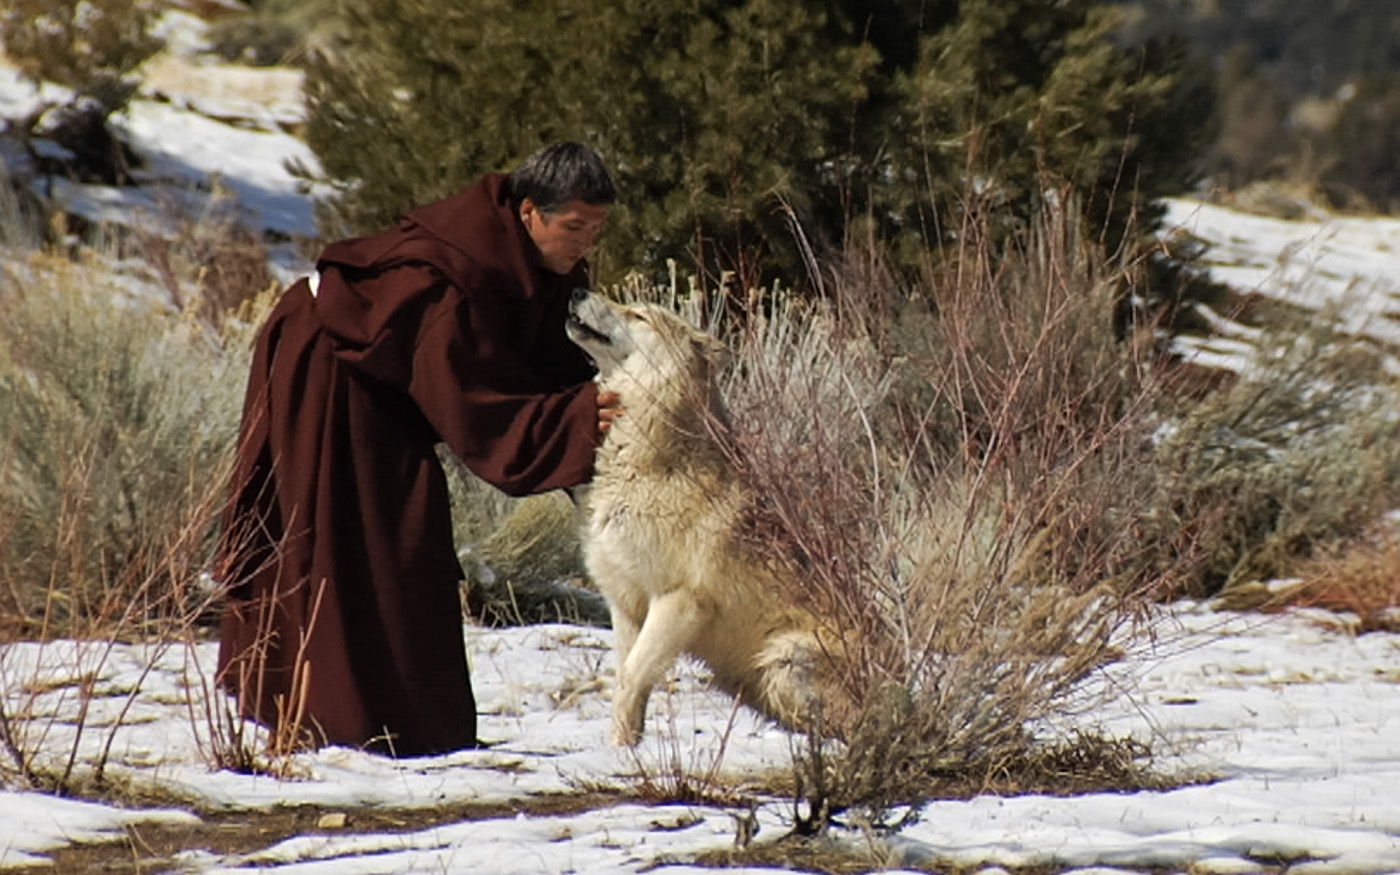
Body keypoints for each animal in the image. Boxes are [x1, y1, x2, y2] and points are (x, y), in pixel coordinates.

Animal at [566, 291, 851, 745]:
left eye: (639, 314)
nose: (576, 291)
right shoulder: (624, 604)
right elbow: (627, 684)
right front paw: (622, 751)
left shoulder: (678, 602)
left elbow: (630, 678)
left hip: (783, 660)